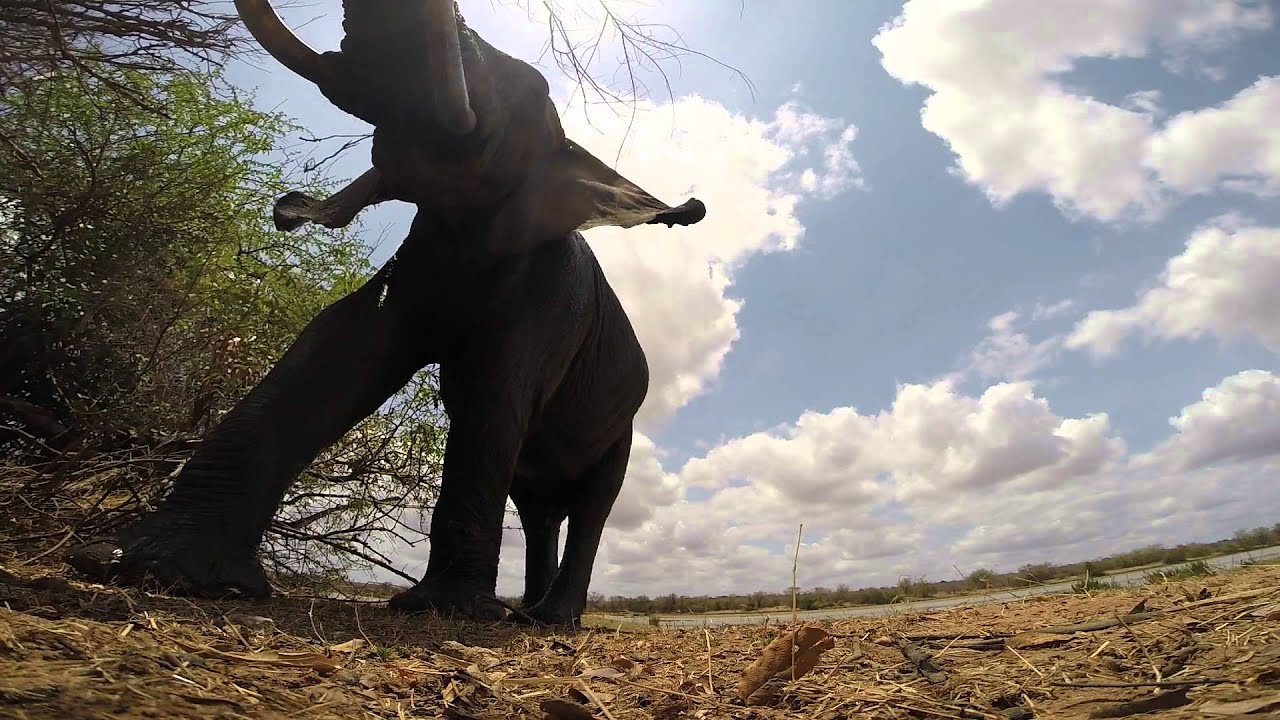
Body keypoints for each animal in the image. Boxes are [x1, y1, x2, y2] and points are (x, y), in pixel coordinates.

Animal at [64, 0, 706, 626]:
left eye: (528, 90)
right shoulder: (413, 265)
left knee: (594, 504)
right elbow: (338, 340)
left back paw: (552, 621)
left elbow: (494, 387)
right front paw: (141, 568)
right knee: (538, 510)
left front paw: (443, 612)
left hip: (622, 431)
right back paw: (526, 615)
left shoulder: (550, 299)